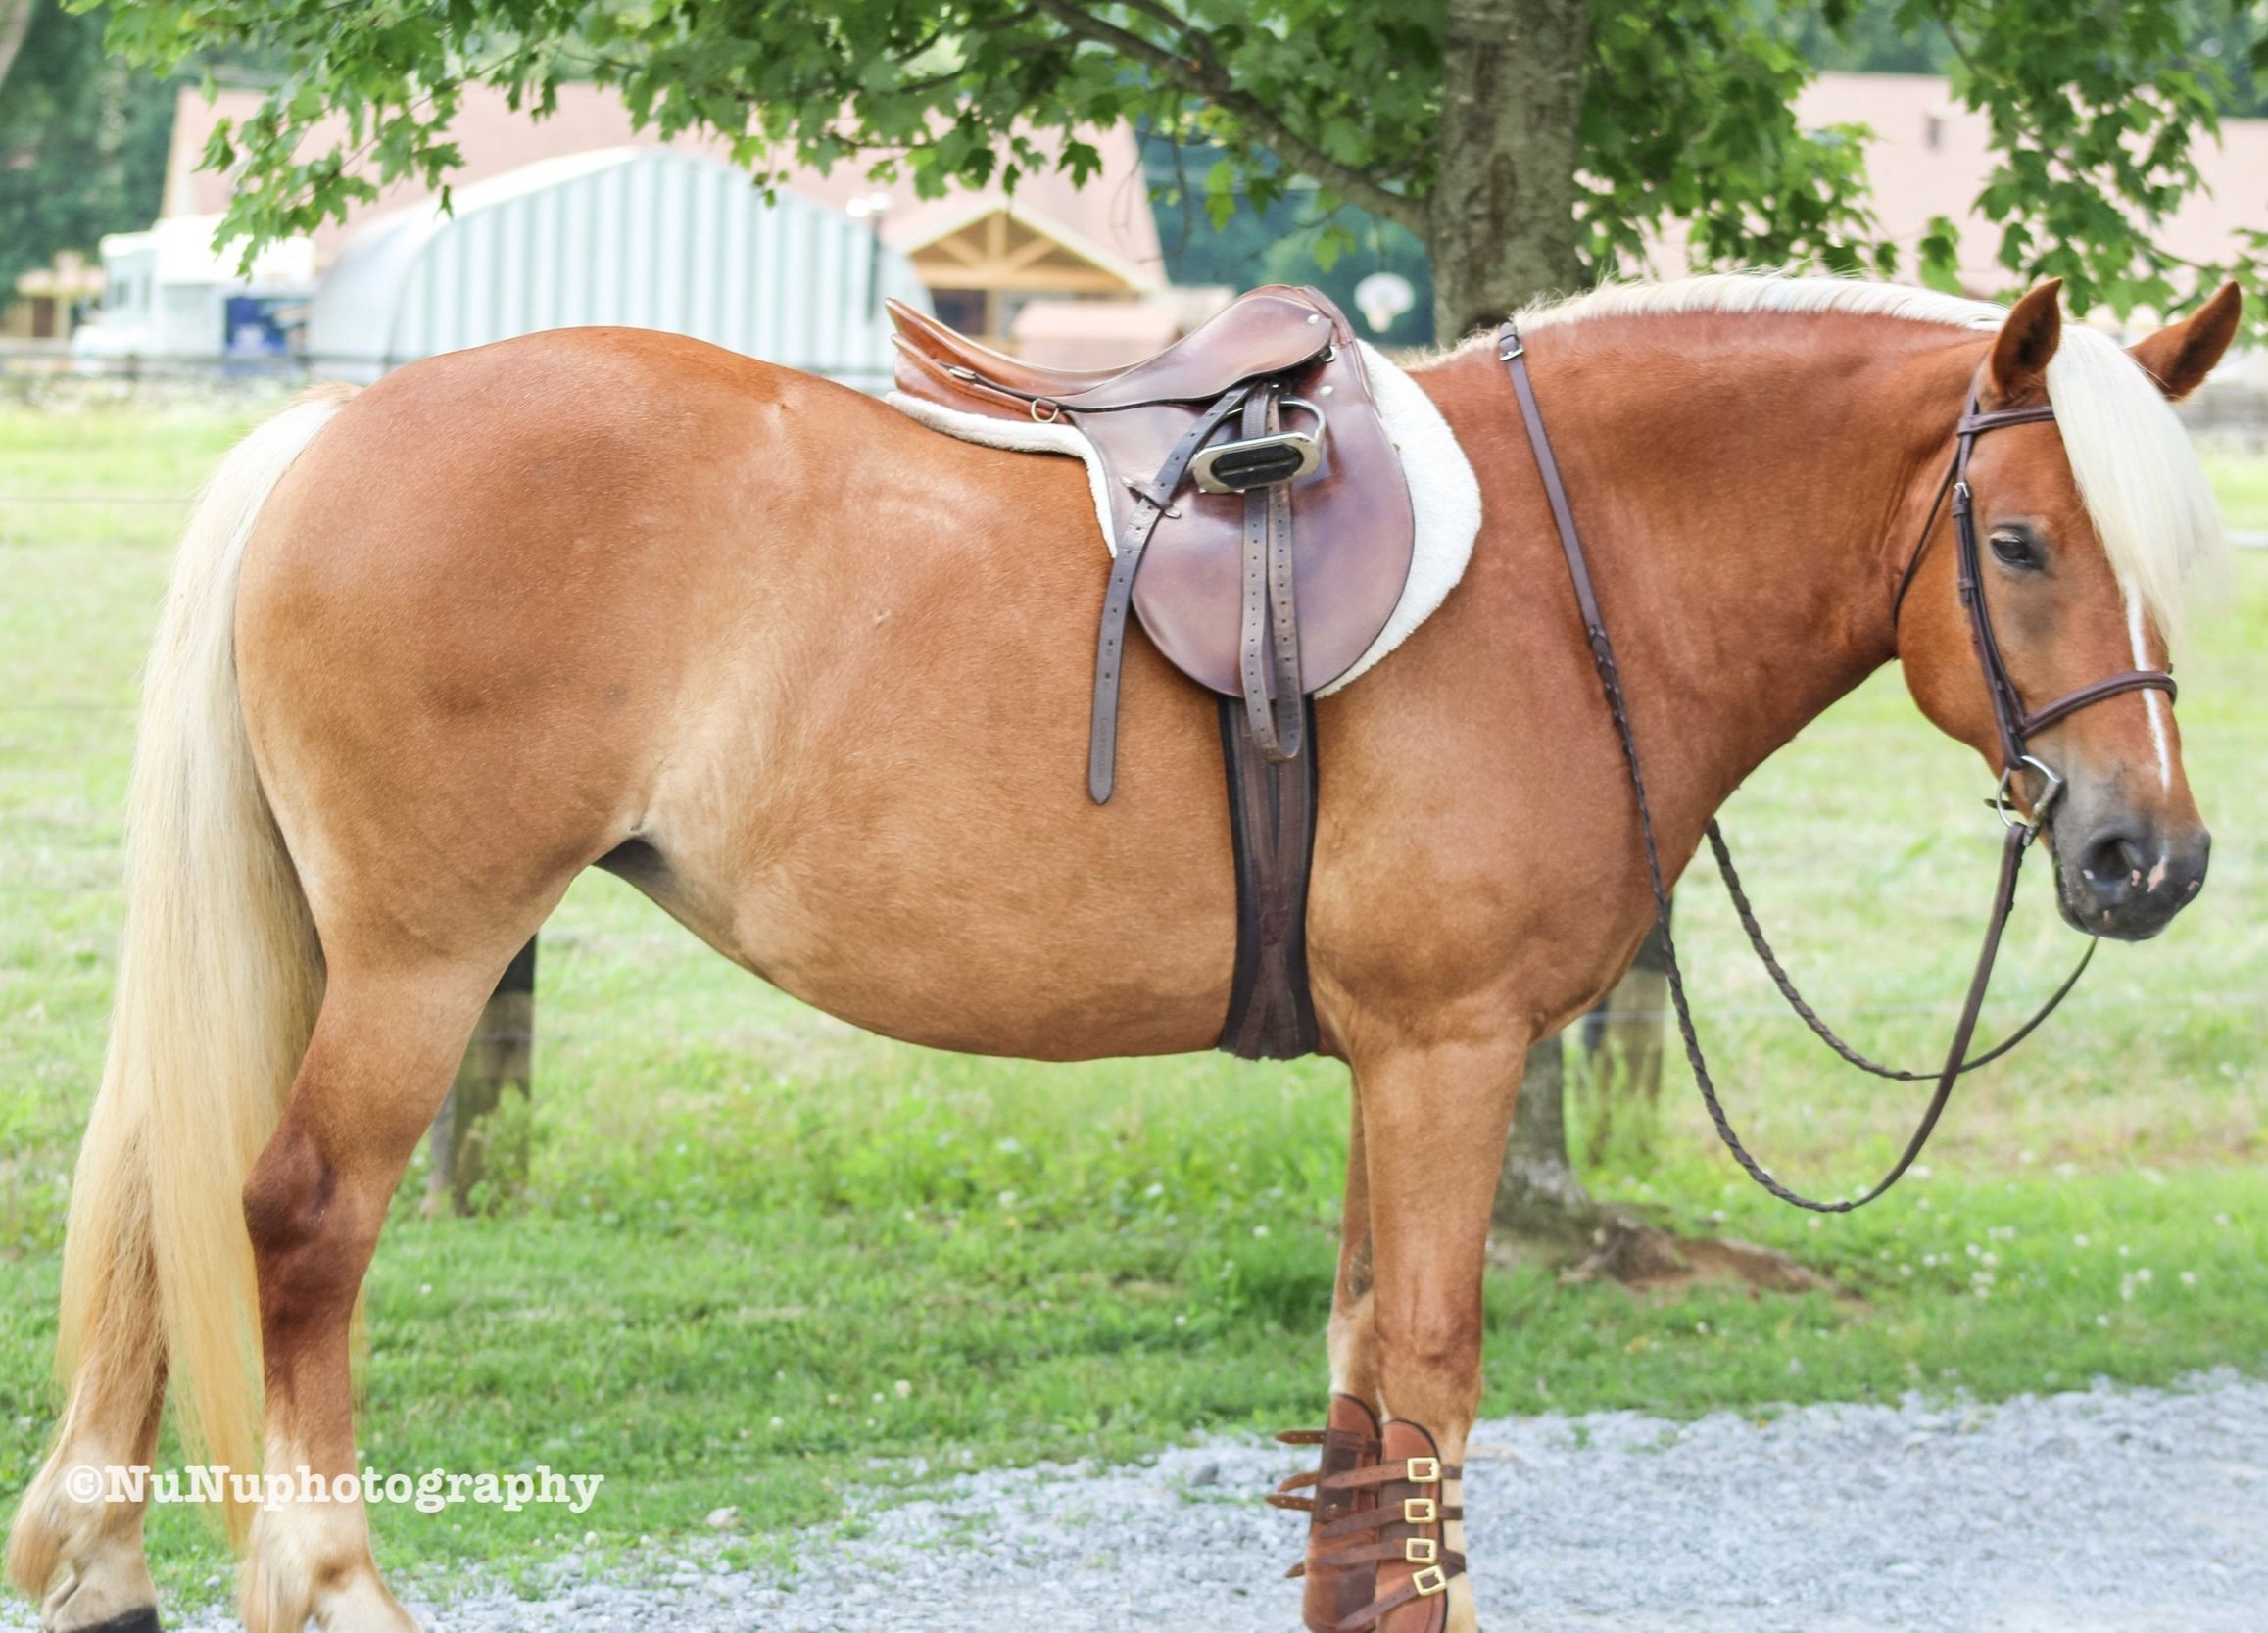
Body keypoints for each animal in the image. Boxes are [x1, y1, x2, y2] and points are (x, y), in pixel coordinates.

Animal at [6, 271, 2237, 1633]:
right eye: (2017, 541)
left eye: (2177, 556)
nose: (2147, 855)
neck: (1566, 567)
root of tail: (326, 428)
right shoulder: (1449, 1047)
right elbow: (1431, 1370)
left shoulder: (1394, 1058)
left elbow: (1358, 1374)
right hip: (419, 957)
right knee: (294, 1224)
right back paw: (331, 1580)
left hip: (315, 944)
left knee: (161, 1218)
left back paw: (100, 1554)